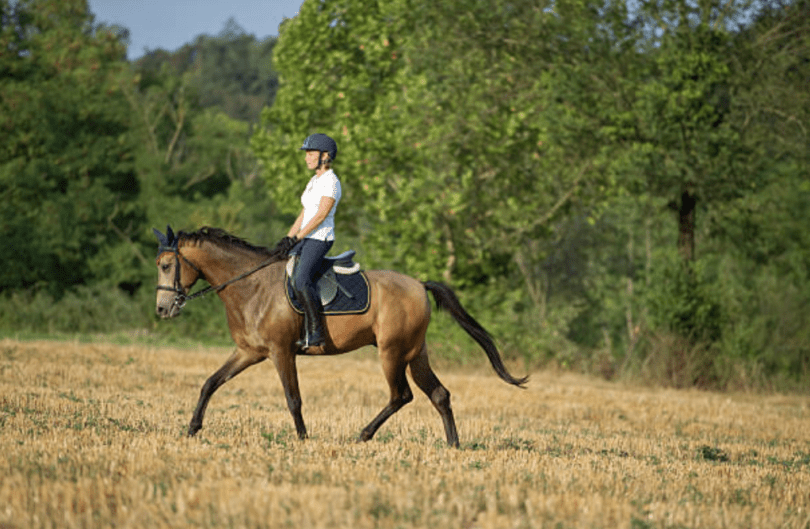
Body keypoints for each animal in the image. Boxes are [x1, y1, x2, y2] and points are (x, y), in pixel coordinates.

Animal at [153, 226, 527, 447]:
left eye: (165, 266)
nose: (162, 309)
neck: (251, 286)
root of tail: (419, 285)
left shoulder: (280, 351)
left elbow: (293, 398)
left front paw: (303, 438)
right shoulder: (248, 351)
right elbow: (210, 383)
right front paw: (192, 428)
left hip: (391, 353)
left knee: (401, 395)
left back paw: (363, 434)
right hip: (415, 352)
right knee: (439, 394)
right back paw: (453, 445)